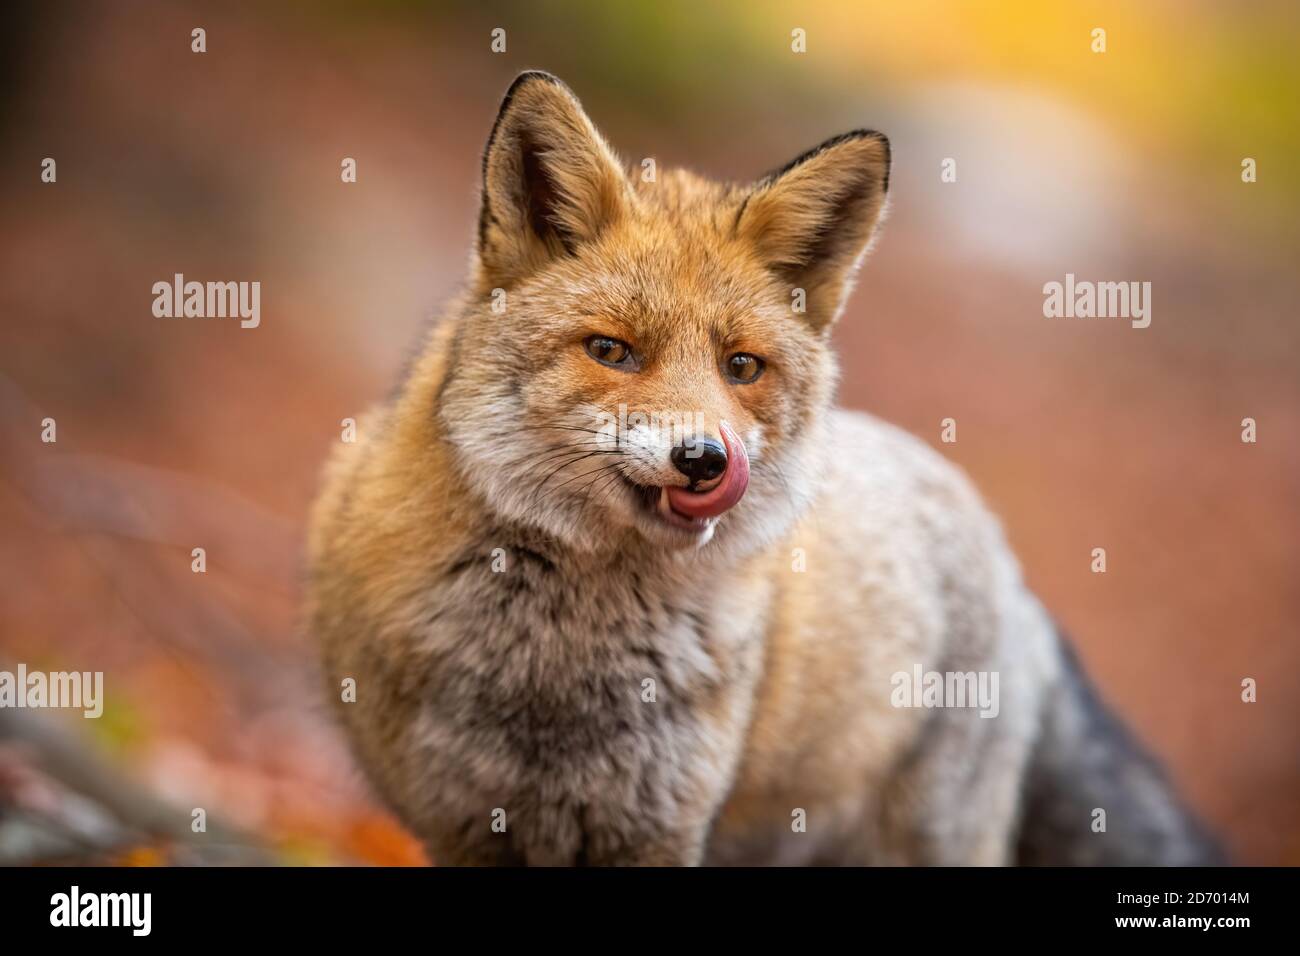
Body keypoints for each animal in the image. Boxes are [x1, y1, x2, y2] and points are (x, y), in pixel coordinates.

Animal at [306, 71, 1222, 866]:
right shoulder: (464, 825)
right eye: (612, 350)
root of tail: (992, 537)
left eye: (741, 367)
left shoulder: (658, 831)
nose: (706, 460)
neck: (554, 668)